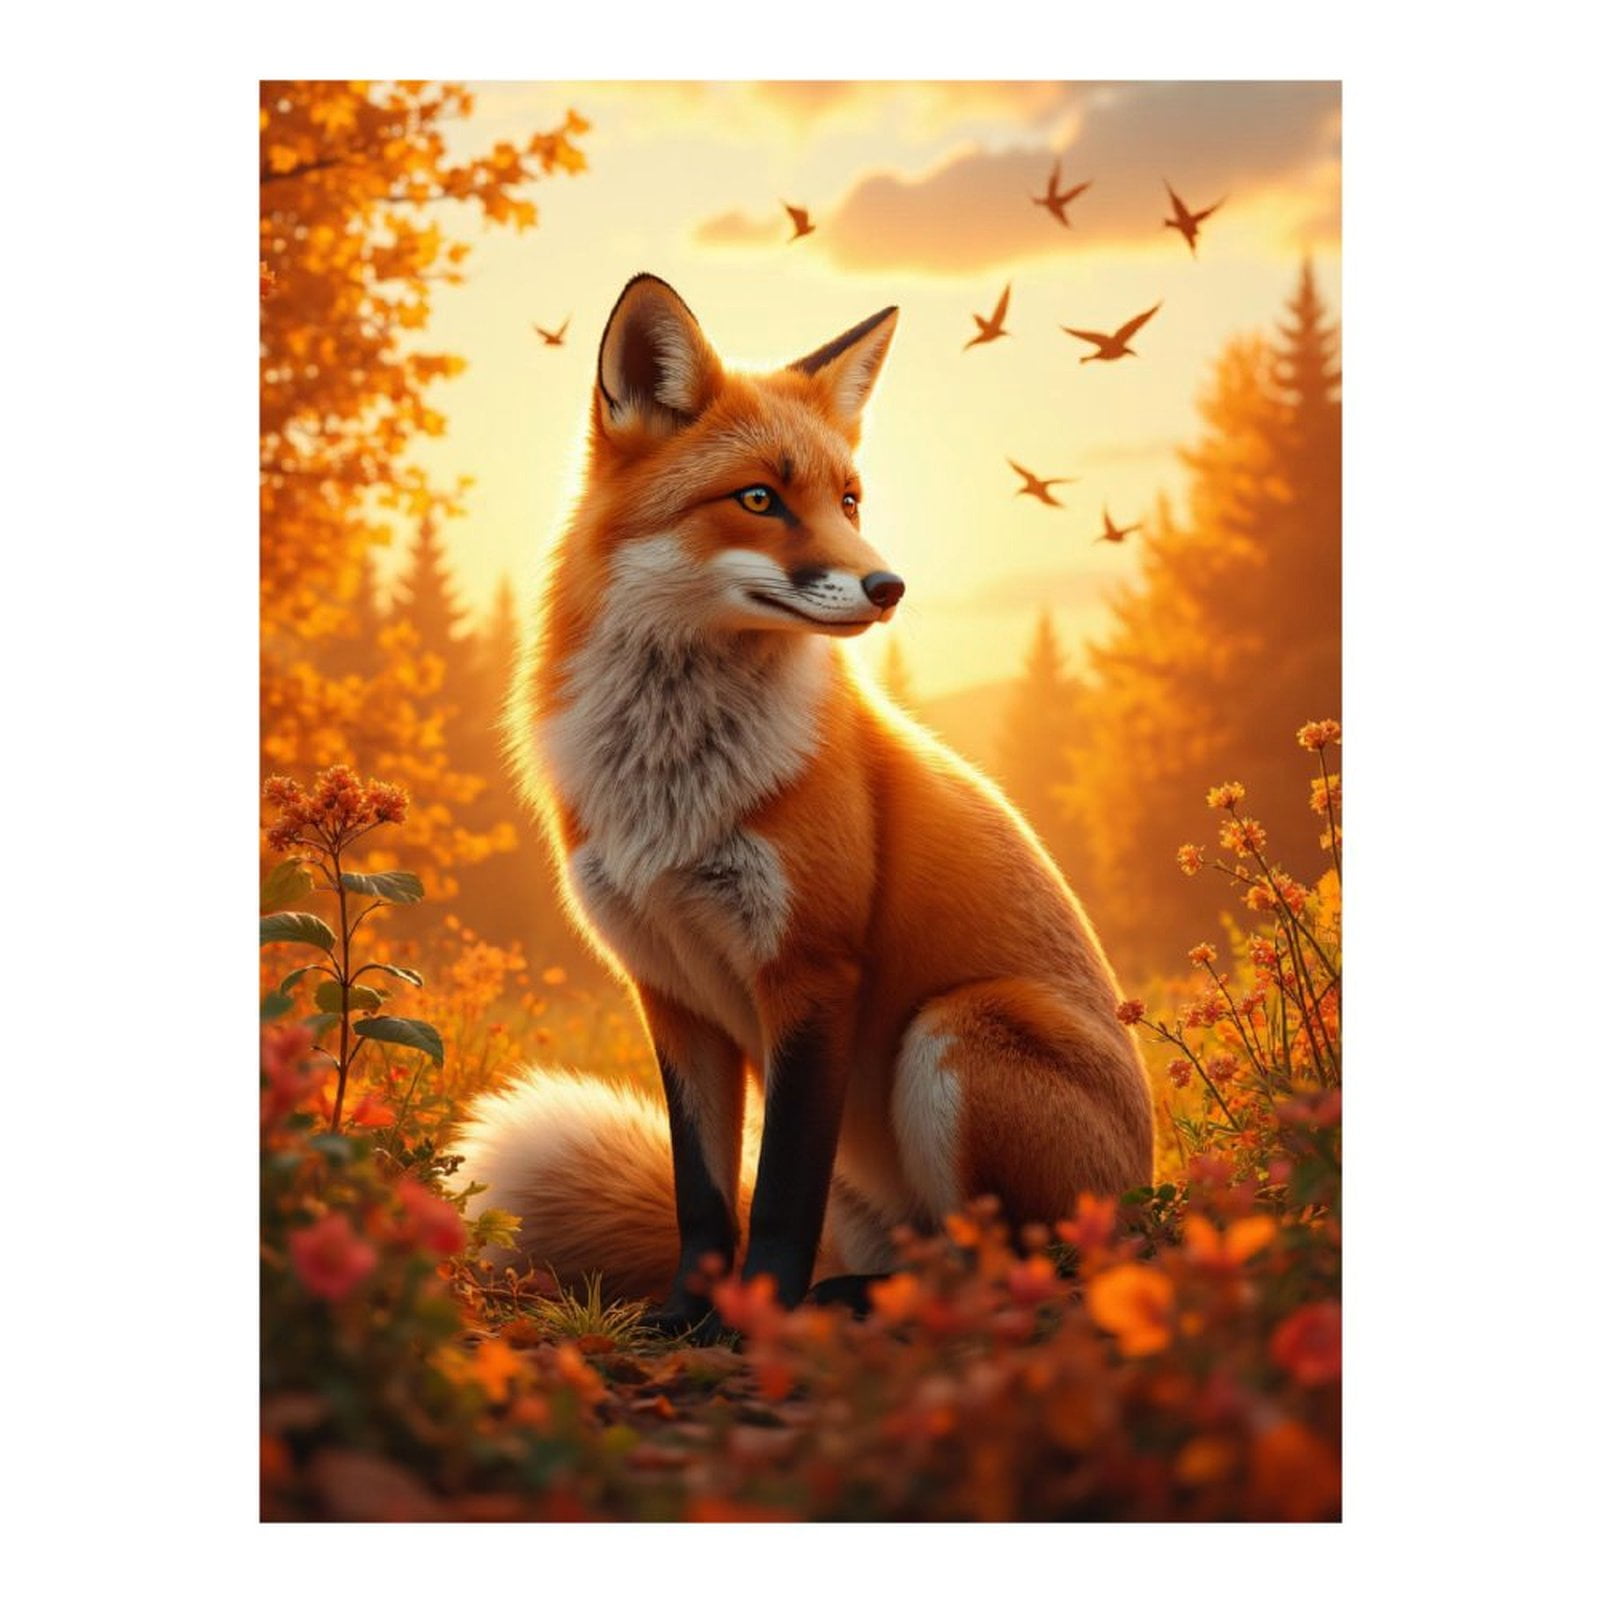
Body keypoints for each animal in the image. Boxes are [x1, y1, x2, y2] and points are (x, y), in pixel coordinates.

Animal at [452, 273, 1153, 1331]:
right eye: (759, 498)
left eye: (850, 500)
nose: (890, 585)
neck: (672, 785)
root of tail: (1164, 1209)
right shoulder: (666, 988)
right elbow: (706, 1195)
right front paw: (689, 1316)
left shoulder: (813, 969)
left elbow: (780, 1186)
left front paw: (762, 1316)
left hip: (960, 1029)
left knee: (1024, 1271)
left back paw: (859, 1302)